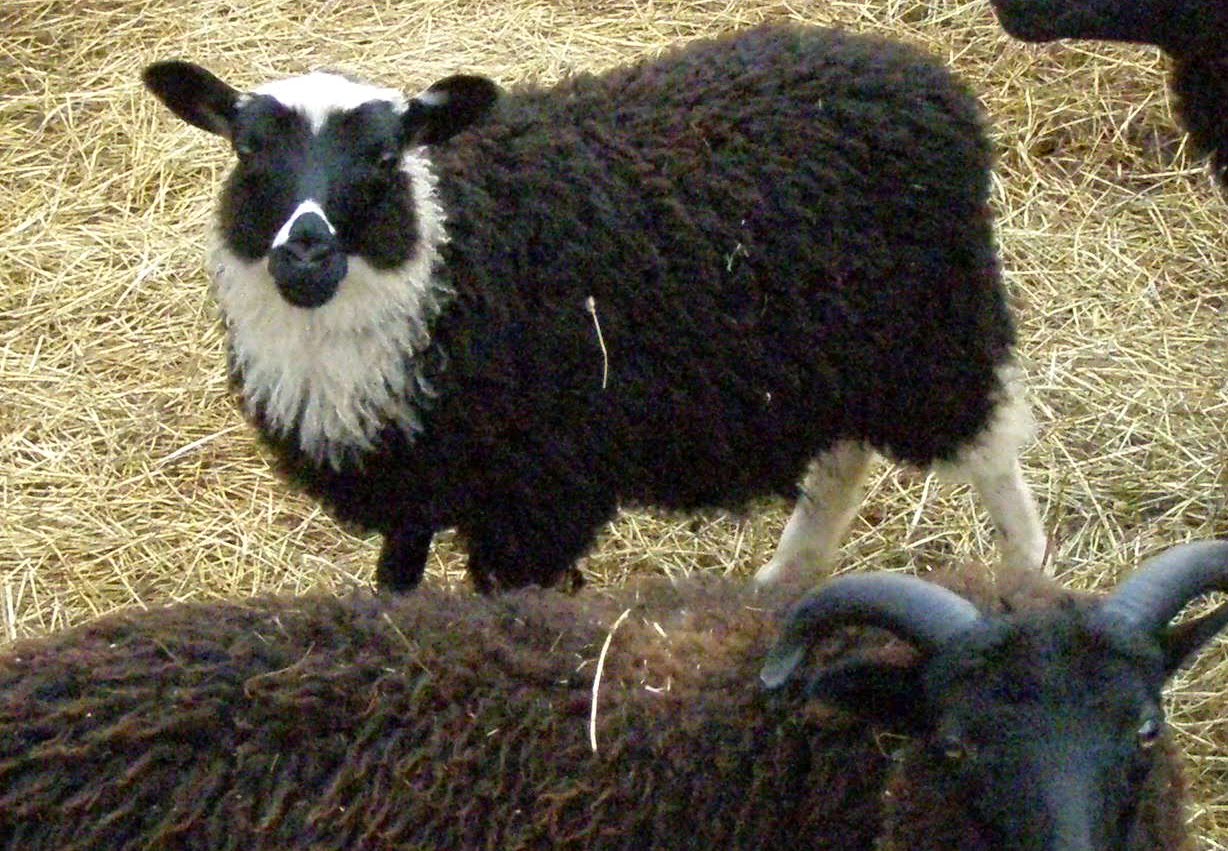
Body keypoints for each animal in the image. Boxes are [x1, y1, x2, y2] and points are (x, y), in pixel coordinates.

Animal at [142, 23, 1047, 593]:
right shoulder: (422, 479)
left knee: (992, 453)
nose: (305, 250)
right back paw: (787, 575)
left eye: (386, 156)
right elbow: (395, 586)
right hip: (838, 348)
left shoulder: (535, 502)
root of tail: (921, 77)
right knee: (842, 457)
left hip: (933, 335)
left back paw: (1023, 585)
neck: (447, 257)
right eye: (248, 149)